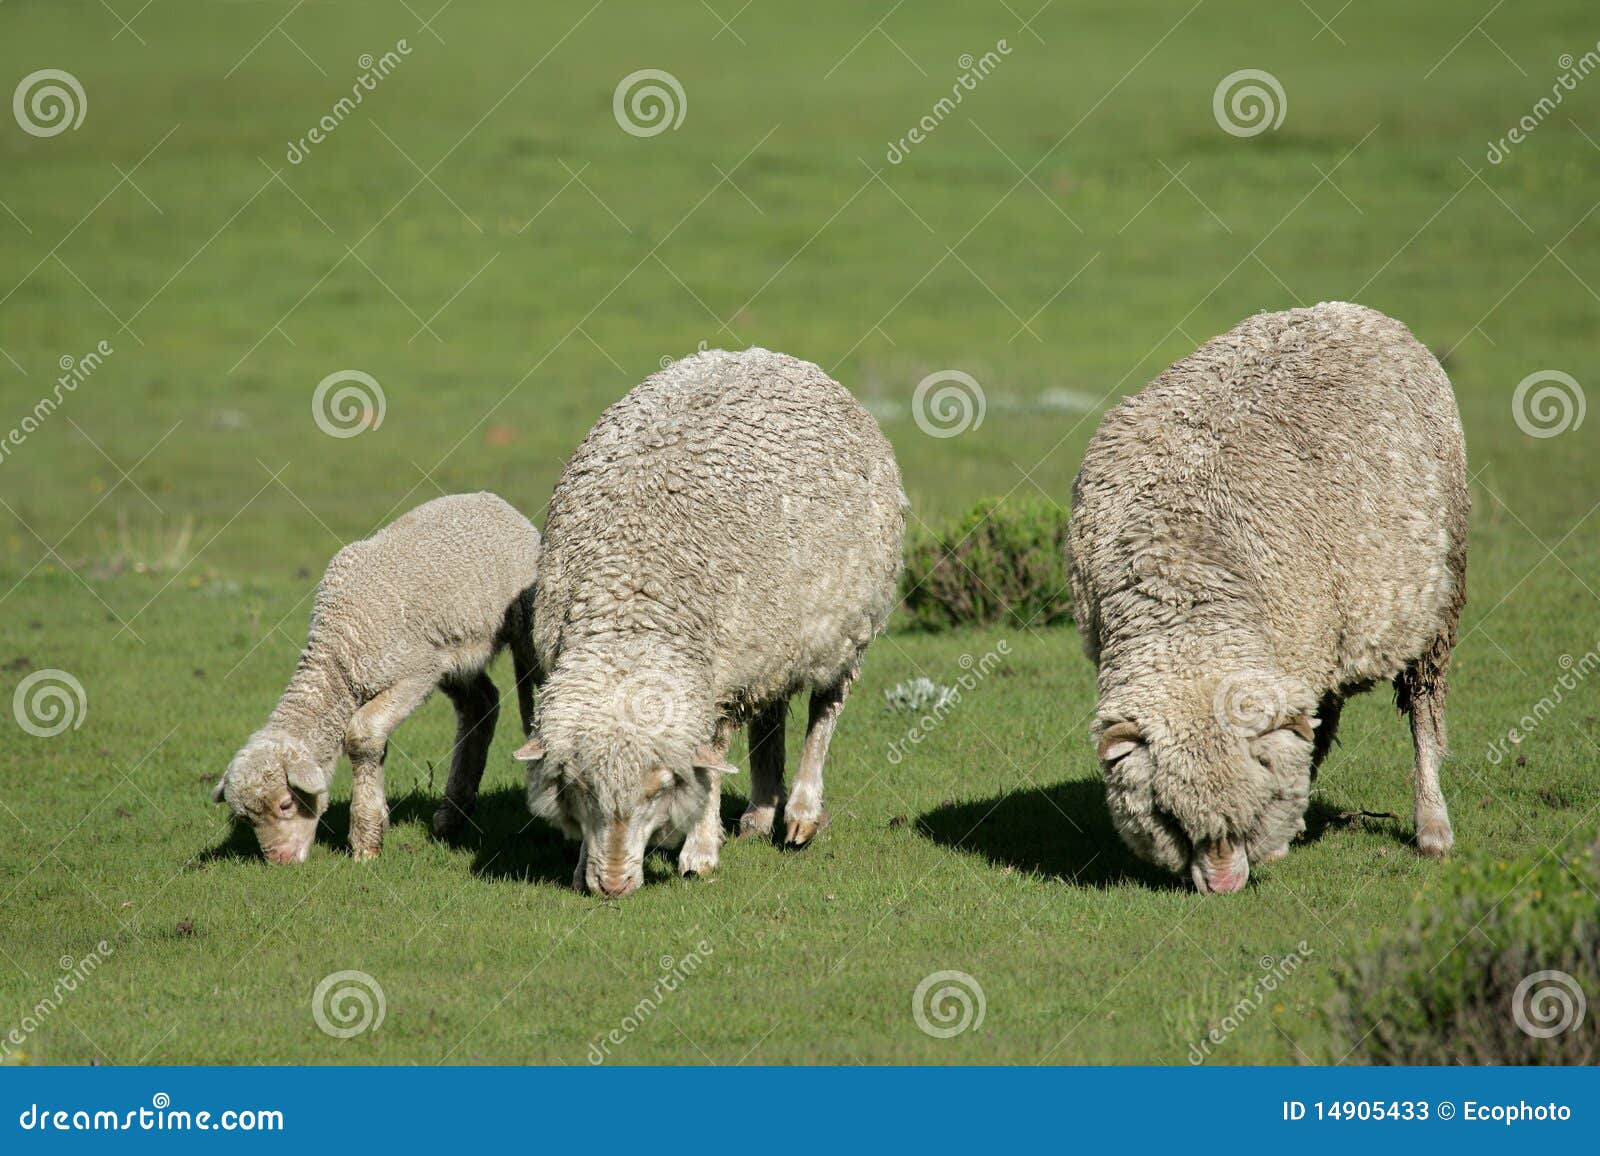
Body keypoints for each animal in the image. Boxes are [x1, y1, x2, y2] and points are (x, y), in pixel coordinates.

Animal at [213, 492, 540, 863]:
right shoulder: (419, 667)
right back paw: (453, 812)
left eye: (285, 804)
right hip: (452, 653)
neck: (339, 654)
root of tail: (490, 499)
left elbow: (362, 735)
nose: (279, 860)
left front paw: (365, 842)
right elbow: (374, 745)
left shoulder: (416, 672)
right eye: (246, 818)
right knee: (480, 704)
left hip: (516, 626)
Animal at [515, 348, 905, 897]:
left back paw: (801, 812)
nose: (612, 886)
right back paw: (761, 813)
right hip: (769, 638)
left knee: (825, 709)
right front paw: (580, 867)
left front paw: (699, 852)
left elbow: (712, 762)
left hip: (845, 623)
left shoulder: (718, 682)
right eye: (580, 788)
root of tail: (773, 356)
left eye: (660, 789)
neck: (630, 607)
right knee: (770, 717)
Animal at [1067, 302, 1469, 893]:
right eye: (1171, 820)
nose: (1223, 887)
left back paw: (1433, 826)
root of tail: (1357, 311)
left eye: (1255, 812)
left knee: (1423, 706)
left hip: (1439, 597)